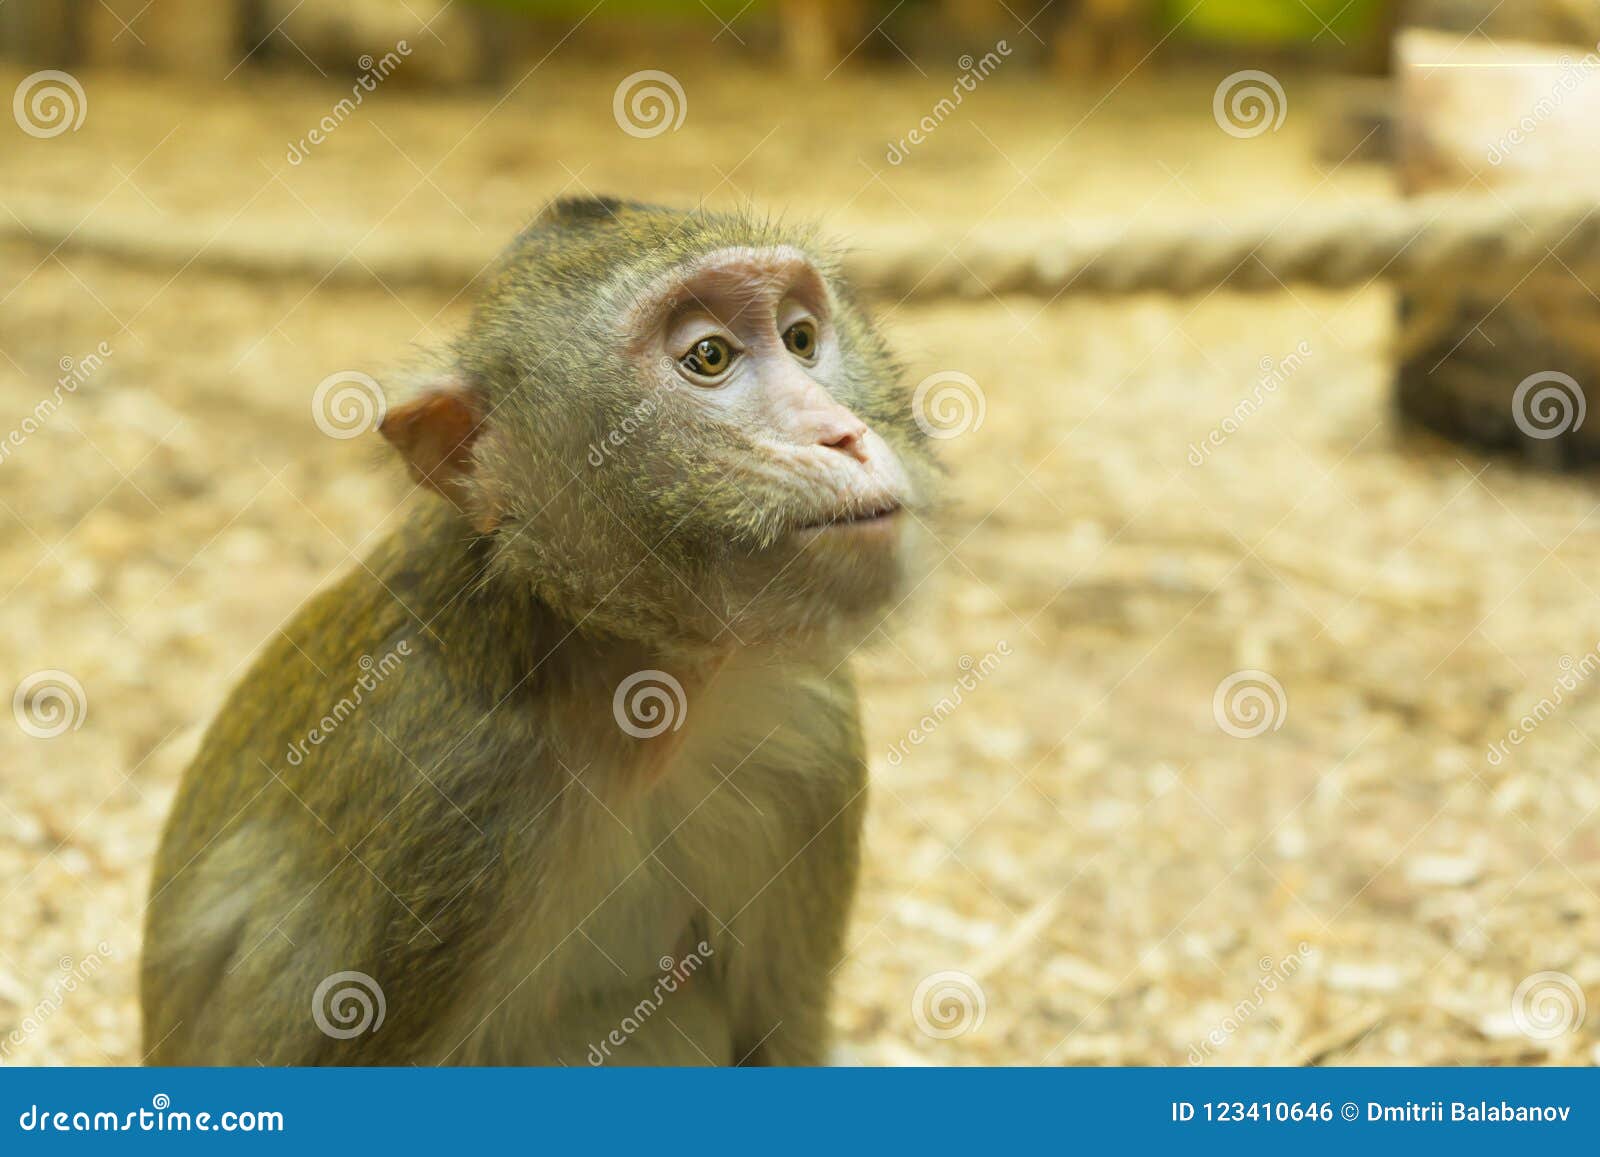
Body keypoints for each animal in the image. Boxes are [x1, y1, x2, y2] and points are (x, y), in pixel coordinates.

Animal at [140, 197, 939, 1065]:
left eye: (800, 338)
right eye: (709, 356)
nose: (844, 435)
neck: (639, 701)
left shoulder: (813, 739)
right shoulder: (447, 791)